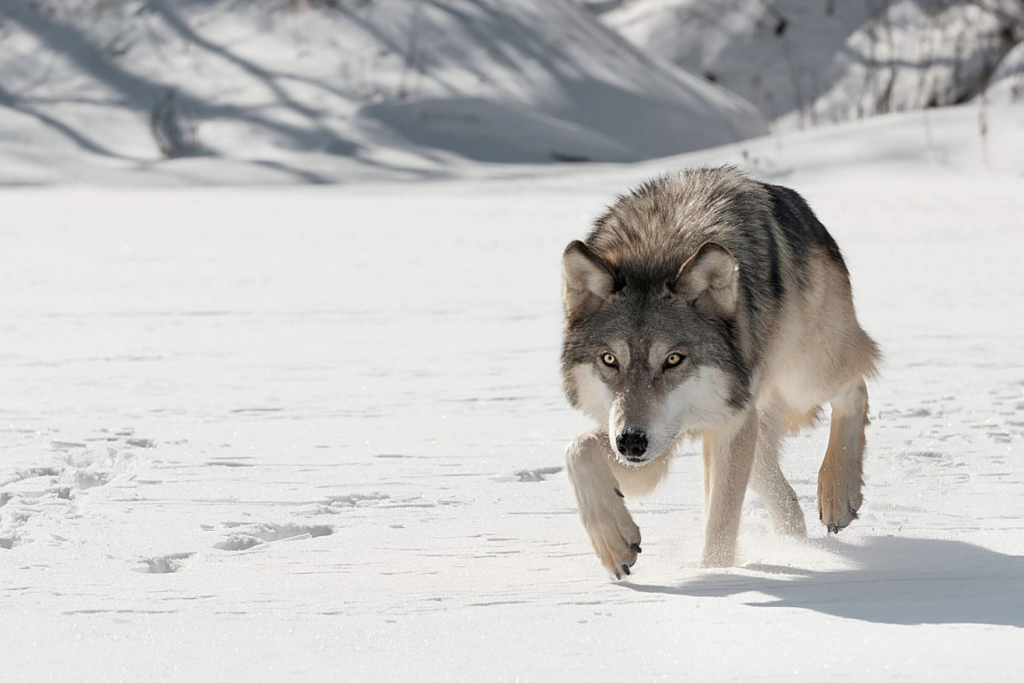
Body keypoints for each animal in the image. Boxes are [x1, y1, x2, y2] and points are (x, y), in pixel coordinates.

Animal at [561, 167, 879, 578]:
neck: (658, 248)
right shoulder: (656, 444)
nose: (631, 442)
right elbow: (577, 450)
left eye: (674, 359)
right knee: (777, 487)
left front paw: (715, 576)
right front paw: (614, 543)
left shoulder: (724, 423)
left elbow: (721, 523)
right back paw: (794, 541)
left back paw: (837, 495)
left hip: (804, 377)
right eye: (610, 360)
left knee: (856, 385)